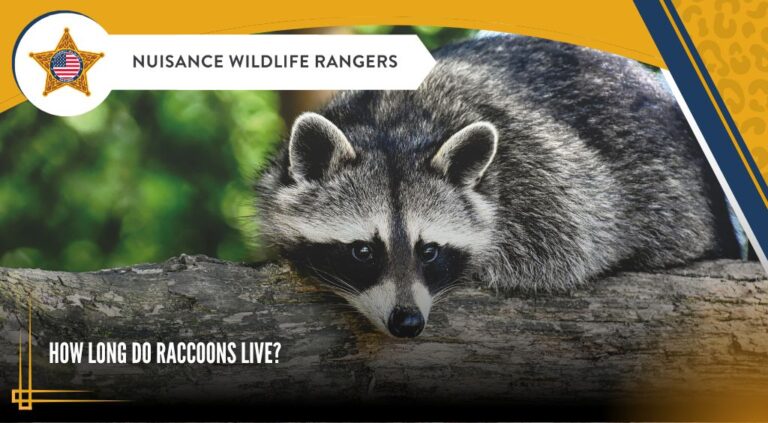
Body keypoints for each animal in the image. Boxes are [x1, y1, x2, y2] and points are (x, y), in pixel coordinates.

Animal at [255, 35, 739, 338]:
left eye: (429, 251)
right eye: (362, 251)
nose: (407, 323)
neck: (391, 123)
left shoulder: (545, 175)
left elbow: (571, 243)